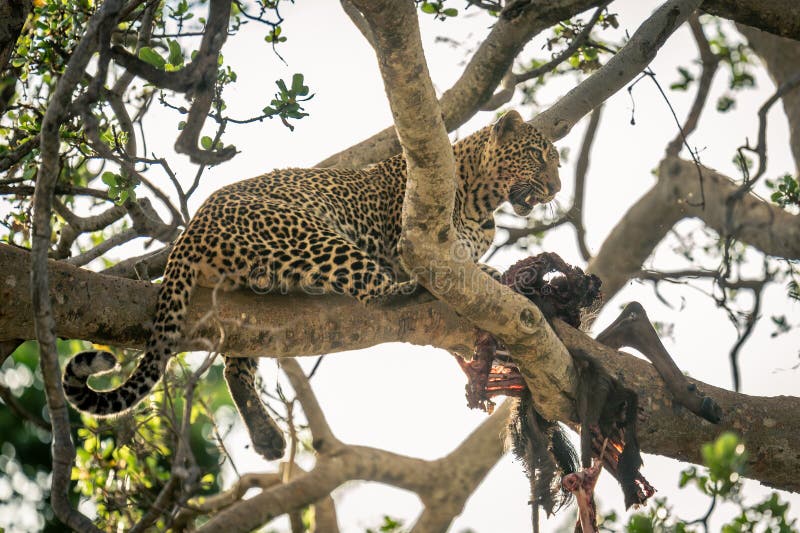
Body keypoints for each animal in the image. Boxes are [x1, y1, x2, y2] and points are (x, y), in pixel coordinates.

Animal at [62, 109, 561, 460]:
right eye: (538, 156)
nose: (556, 188)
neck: (481, 199)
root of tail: (190, 230)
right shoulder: (411, 243)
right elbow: (454, 270)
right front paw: (493, 276)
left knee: (236, 366)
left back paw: (266, 437)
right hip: (310, 230)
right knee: (374, 289)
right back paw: (409, 292)